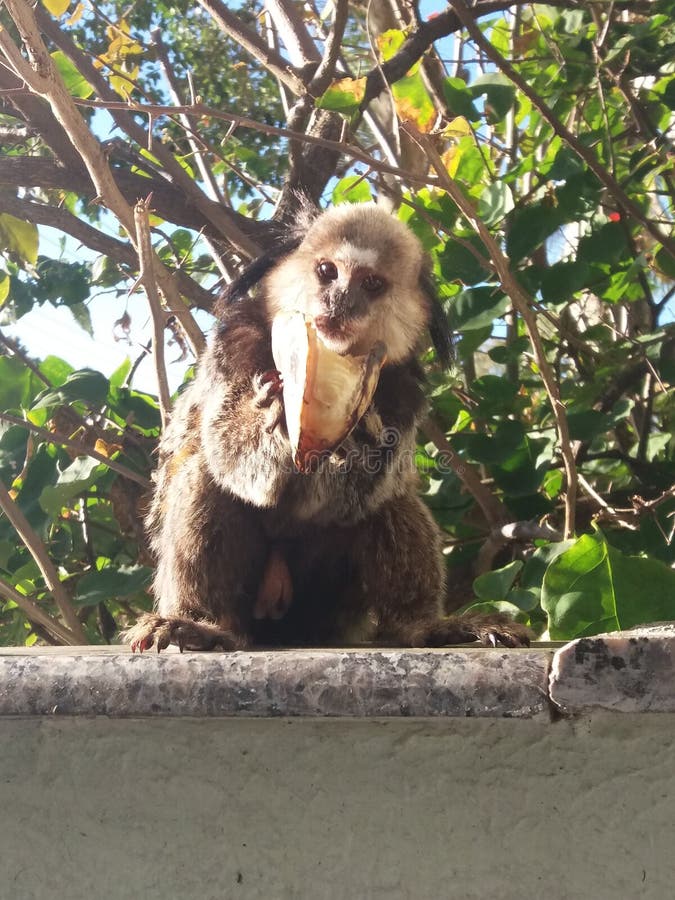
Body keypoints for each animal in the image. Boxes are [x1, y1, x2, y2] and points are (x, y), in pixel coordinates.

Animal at [124, 202, 530, 652]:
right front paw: (277, 424)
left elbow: (357, 492)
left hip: (335, 606)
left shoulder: (403, 386)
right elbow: (229, 455)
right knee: (205, 475)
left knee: (389, 500)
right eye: (327, 271)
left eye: (371, 284)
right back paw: (203, 624)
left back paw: (421, 627)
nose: (338, 301)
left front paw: (358, 436)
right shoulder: (233, 345)